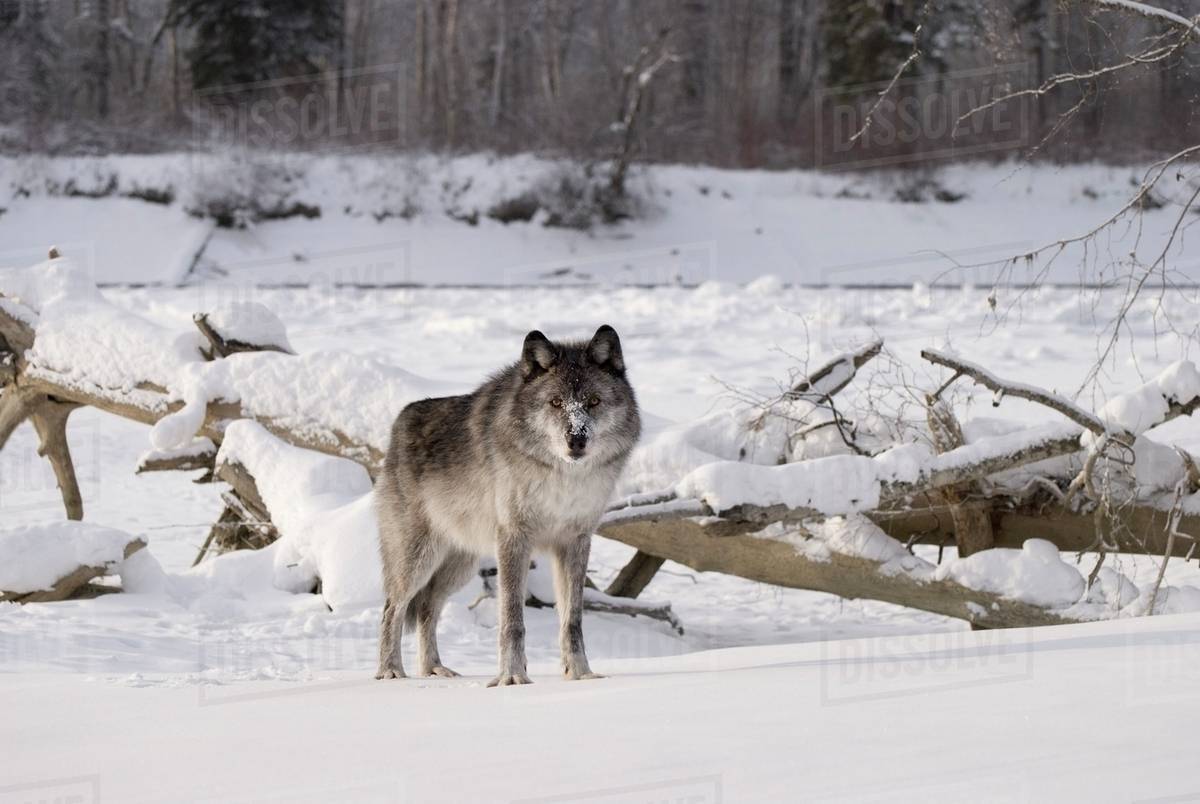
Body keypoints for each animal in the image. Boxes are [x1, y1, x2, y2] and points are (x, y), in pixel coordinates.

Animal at [374, 325, 640, 686]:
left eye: (594, 402)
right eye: (556, 403)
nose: (577, 439)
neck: (562, 478)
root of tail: (399, 422)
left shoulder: (575, 541)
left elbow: (572, 620)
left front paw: (580, 674)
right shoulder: (515, 539)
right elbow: (512, 617)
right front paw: (512, 677)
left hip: (460, 566)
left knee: (428, 607)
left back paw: (434, 670)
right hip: (417, 560)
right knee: (392, 608)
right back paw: (390, 672)